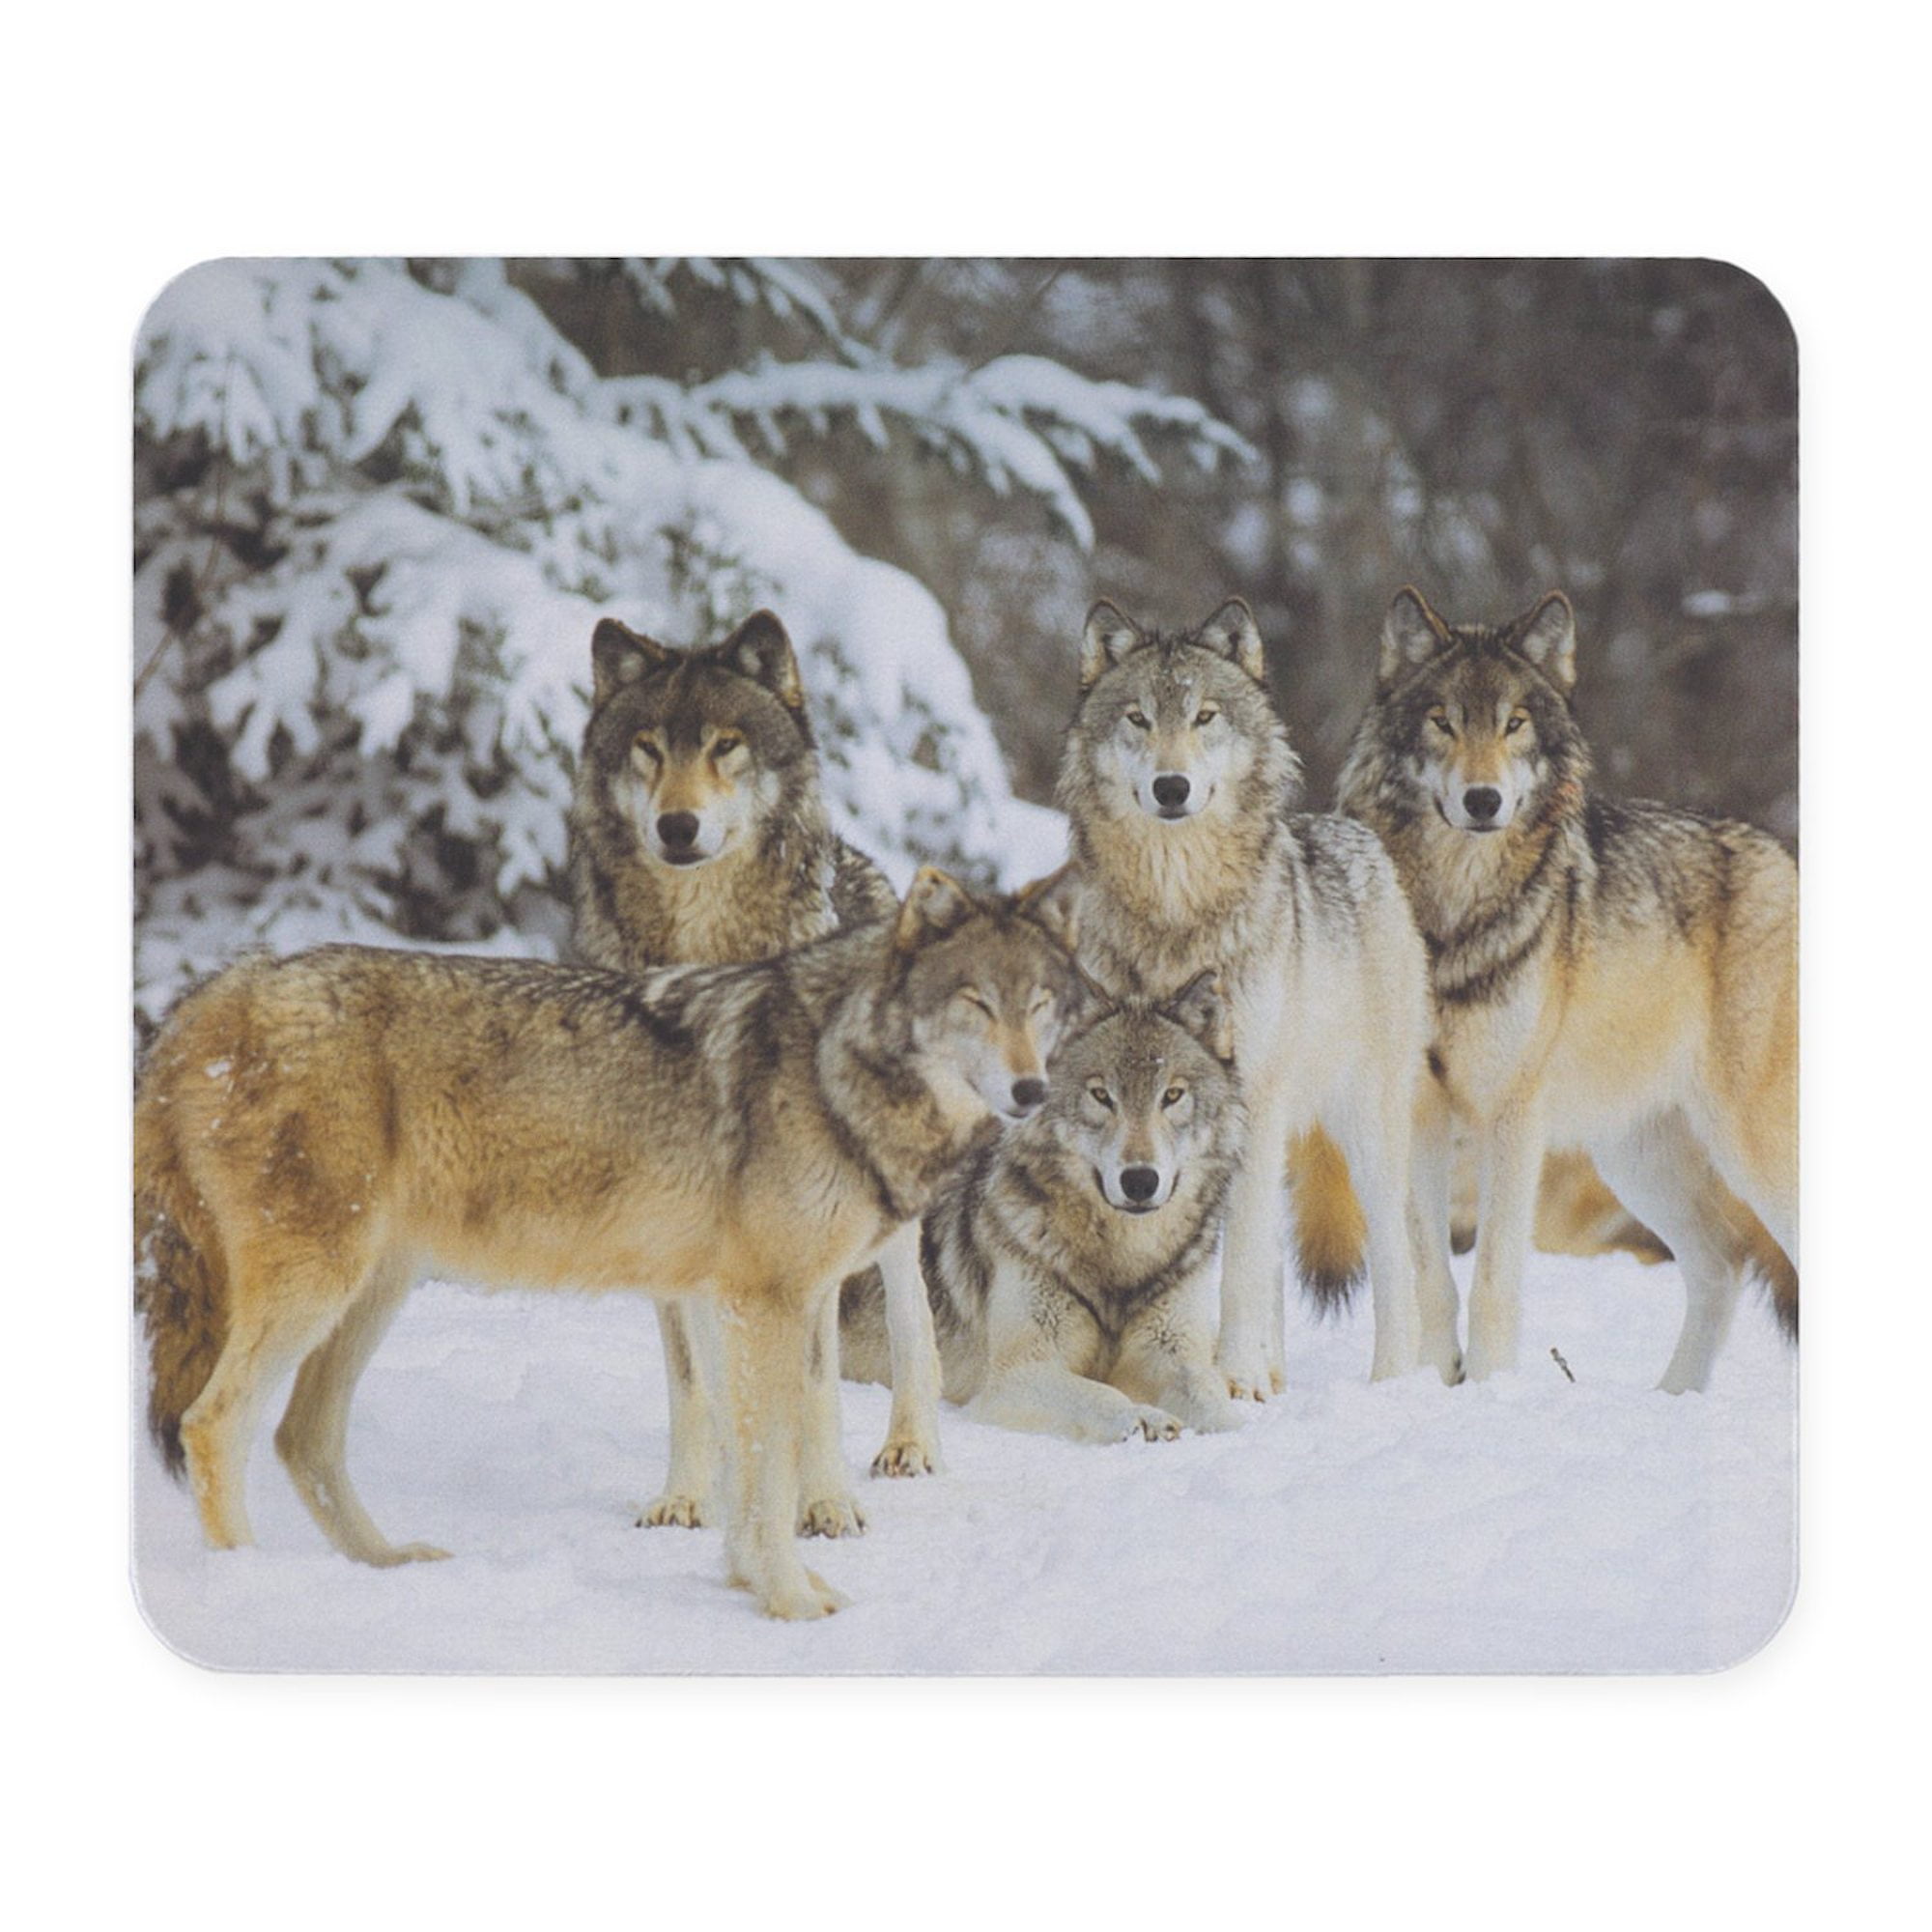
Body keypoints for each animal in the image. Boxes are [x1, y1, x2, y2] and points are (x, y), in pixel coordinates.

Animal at [133, 870, 1081, 1620]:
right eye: (976, 1002)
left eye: (1039, 1005)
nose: (1033, 1090)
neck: (833, 1065)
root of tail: (217, 992)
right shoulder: (766, 1303)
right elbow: (766, 1469)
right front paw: (790, 1602)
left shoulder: (750, 1302)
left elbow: (754, 1461)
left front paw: (755, 1581)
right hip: (318, 1287)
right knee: (213, 1423)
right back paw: (248, 1583)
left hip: (371, 1294)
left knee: (303, 1439)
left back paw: (389, 1567)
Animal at [568, 609, 936, 1538]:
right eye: (649, 749)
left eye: (726, 746)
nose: (677, 826)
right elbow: (693, 1379)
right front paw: (687, 1497)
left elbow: (815, 1382)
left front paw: (825, 1506)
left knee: (912, 1315)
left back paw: (909, 1447)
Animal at [843, 971, 1247, 1443]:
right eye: (1101, 1095)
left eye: (1173, 1095)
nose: (1140, 1181)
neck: (1123, 1262)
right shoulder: (1013, 1377)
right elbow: (1102, 1394)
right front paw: (1143, 1417)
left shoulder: (1172, 1352)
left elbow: (1207, 1392)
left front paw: (1233, 1428)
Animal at [1054, 599, 1432, 1394]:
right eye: (1138, 719)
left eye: (1204, 716)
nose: (1171, 787)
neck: (1175, 911)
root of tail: (1358, 834)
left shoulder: (1248, 1098)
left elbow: (1243, 1267)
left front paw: (1233, 1378)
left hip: (1365, 1133)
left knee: (1396, 1265)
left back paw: (1387, 1381)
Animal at [1328, 587, 1797, 1389]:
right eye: (1443, 721)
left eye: (1514, 723)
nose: (1483, 800)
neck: (1453, 921)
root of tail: (1787, 859)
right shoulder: (1416, 1110)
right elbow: (1430, 1279)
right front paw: (1436, 1384)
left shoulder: (1511, 1117)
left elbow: (1492, 1279)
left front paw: (1489, 1392)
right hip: (1636, 1156)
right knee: (1723, 1264)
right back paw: (1672, 1399)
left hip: (1746, 1147)